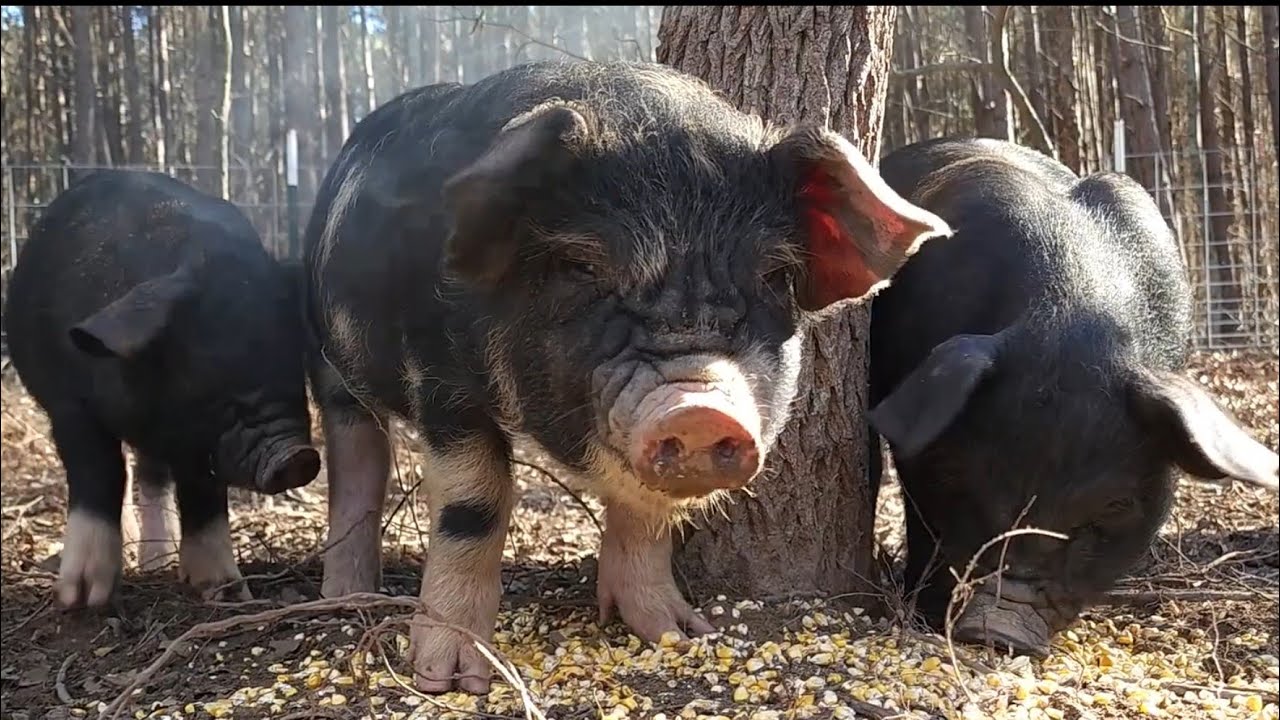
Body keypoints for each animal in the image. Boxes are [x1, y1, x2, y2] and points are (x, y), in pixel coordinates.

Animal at [5, 169, 322, 609]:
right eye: (209, 382)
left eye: (296, 370)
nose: (297, 456)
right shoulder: (69, 403)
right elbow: (98, 471)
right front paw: (83, 600)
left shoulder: (199, 442)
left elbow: (203, 493)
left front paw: (228, 592)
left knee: (151, 474)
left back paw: (158, 561)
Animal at [301, 59, 953, 693]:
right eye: (582, 265)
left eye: (772, 276)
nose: (698, 406)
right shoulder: (440, 382)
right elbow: (475, 504)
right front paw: (448, 679)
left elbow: (645, 516)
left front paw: (680, 636)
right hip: (328, 359)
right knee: (356, 457)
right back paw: (346, 602)